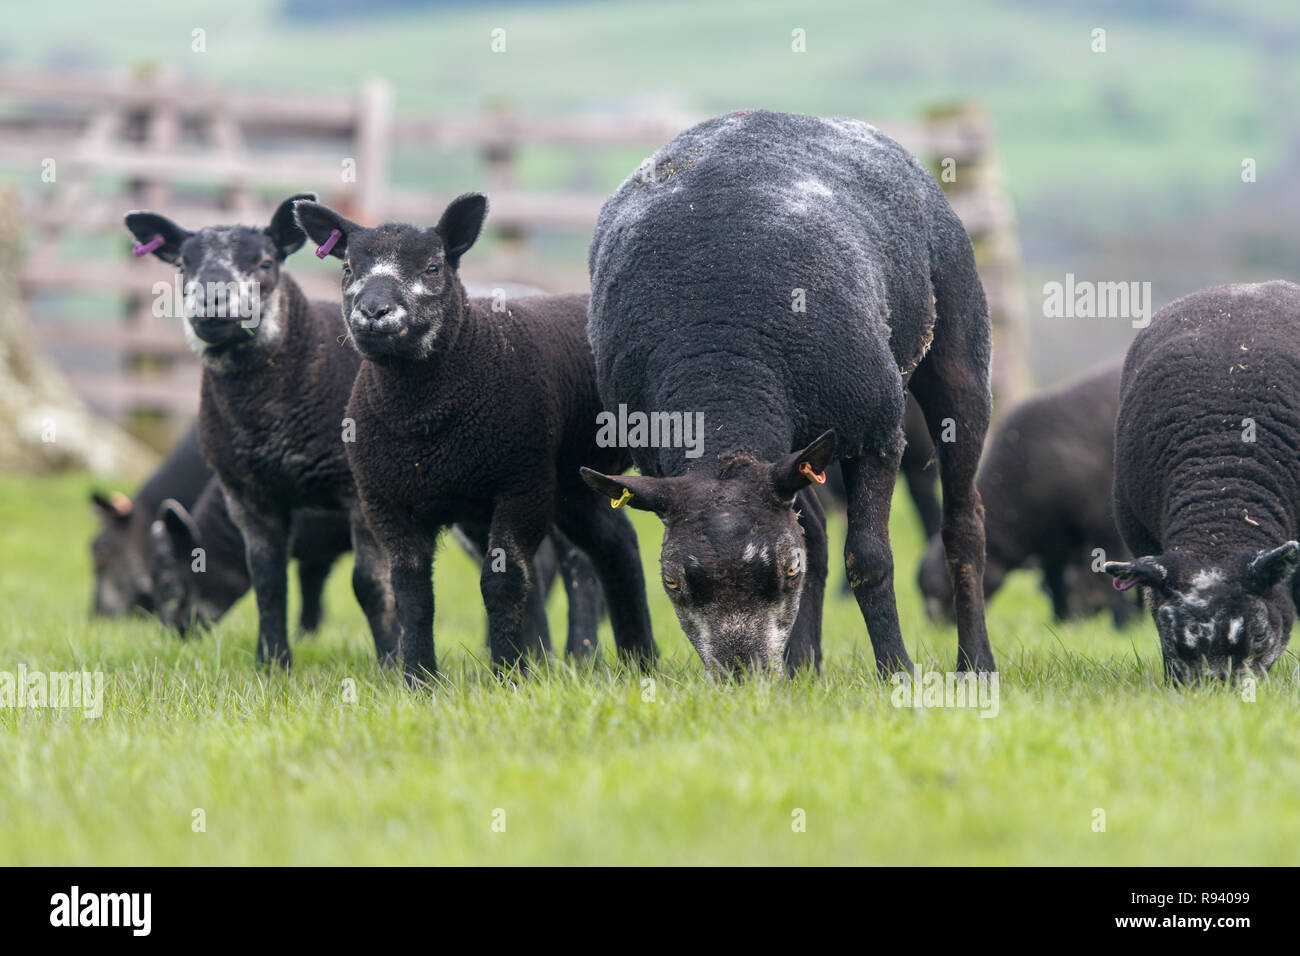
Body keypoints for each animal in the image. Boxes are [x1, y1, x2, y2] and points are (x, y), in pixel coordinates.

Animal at [294, 193, 657, 681]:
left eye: (432, 268)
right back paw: (640, 658)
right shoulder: (385, 501)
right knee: (616, 543)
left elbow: (503, 583)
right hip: (569, 483)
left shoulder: (520, 485)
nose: (372, 313)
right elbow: (412, 594)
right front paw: (418, 680)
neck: (422, 424)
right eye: (348, 268)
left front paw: (508, 675)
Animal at [580, 110, 995, 676]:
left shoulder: (878, 431)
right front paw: (802, 668)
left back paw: (976, 663)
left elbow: (869, 560)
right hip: (804, 447)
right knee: (815, 525)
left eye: (788, 572)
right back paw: (804, 667)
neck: (724, 364)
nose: (742, 676)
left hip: (959, 345)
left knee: (962, 522)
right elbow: (813, 536)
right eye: (672, 583)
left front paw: (896, 671)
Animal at [917, 359, 1137, 626]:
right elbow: (1055, 581)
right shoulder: (1054, 544)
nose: (935, 626)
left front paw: (1123, 623)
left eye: (939, 588)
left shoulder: (1103, 528)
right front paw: (1061, 621)